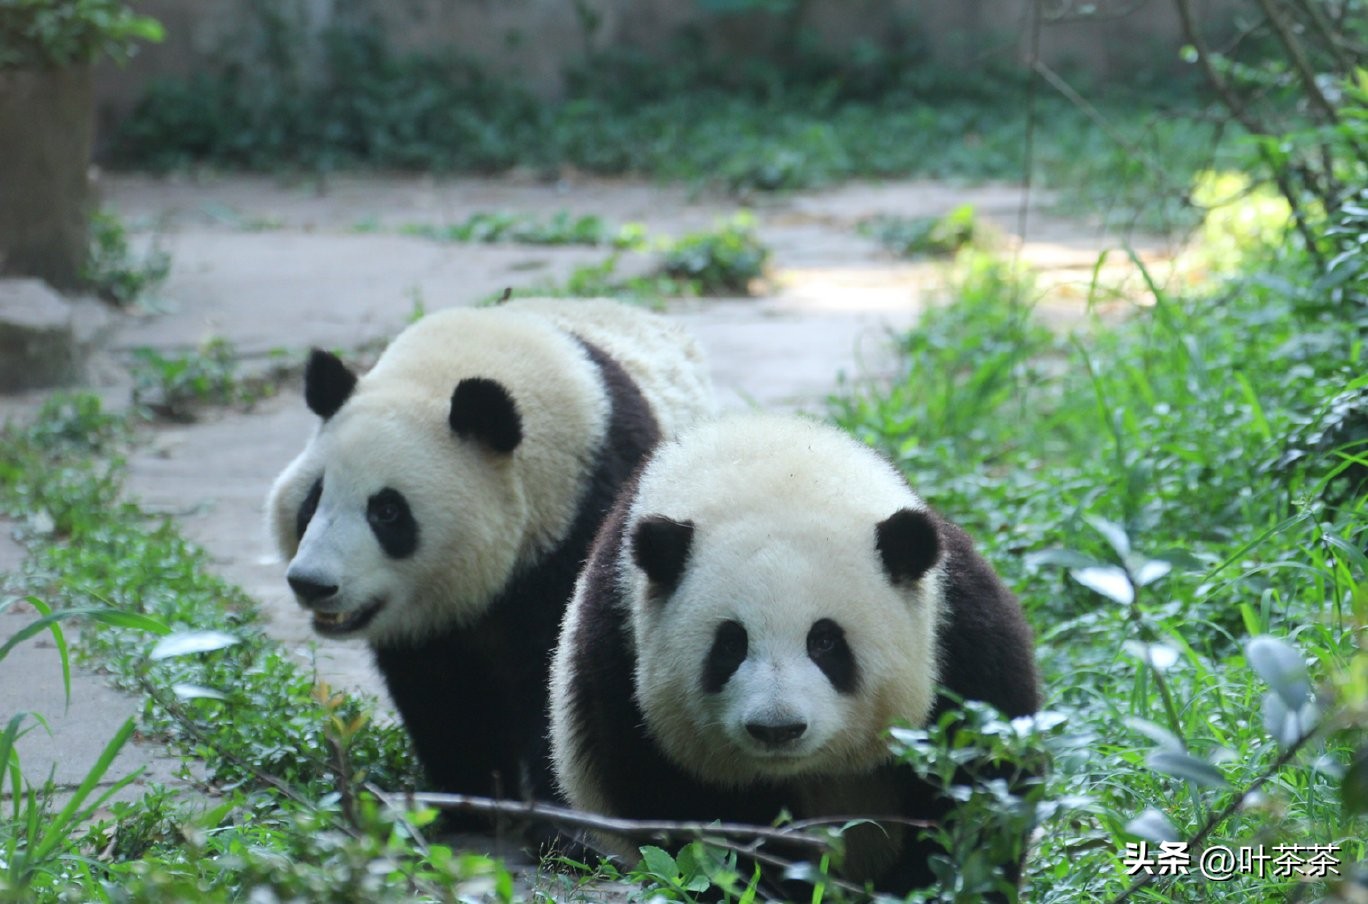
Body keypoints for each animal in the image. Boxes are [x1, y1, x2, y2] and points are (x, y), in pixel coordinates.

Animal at [266, 297, 714, 828]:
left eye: (387, 512)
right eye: (312, 501)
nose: (312, 583)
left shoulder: (584, 515)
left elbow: (553, 679)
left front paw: (556, 817)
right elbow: (440, 693)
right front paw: (468, 800)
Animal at [549, 412, 1039, 896]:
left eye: (825, 641)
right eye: (731, 644)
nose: (777, 729)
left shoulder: (958, 632)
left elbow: (978, 783)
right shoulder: (620, 661)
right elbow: (689, 812)